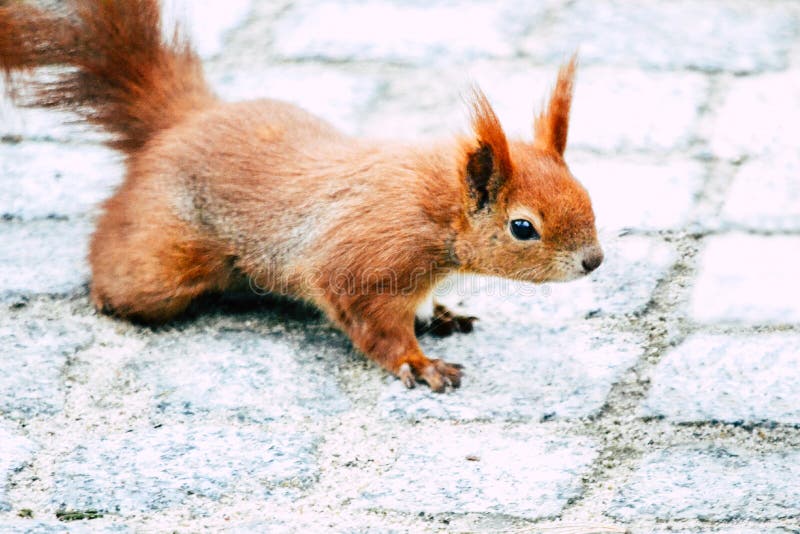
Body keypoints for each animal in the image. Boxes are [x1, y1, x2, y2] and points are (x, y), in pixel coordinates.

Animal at [0, 0, 603, 392]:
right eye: (522, 228)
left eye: (587, 192)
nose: (594, 261)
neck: (433, 208)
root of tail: (184, 120)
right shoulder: (364, 263)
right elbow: (372, 324)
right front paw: (417, 362)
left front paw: (439, 311)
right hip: (162, 260)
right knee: (124, 261)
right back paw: (106, 294)